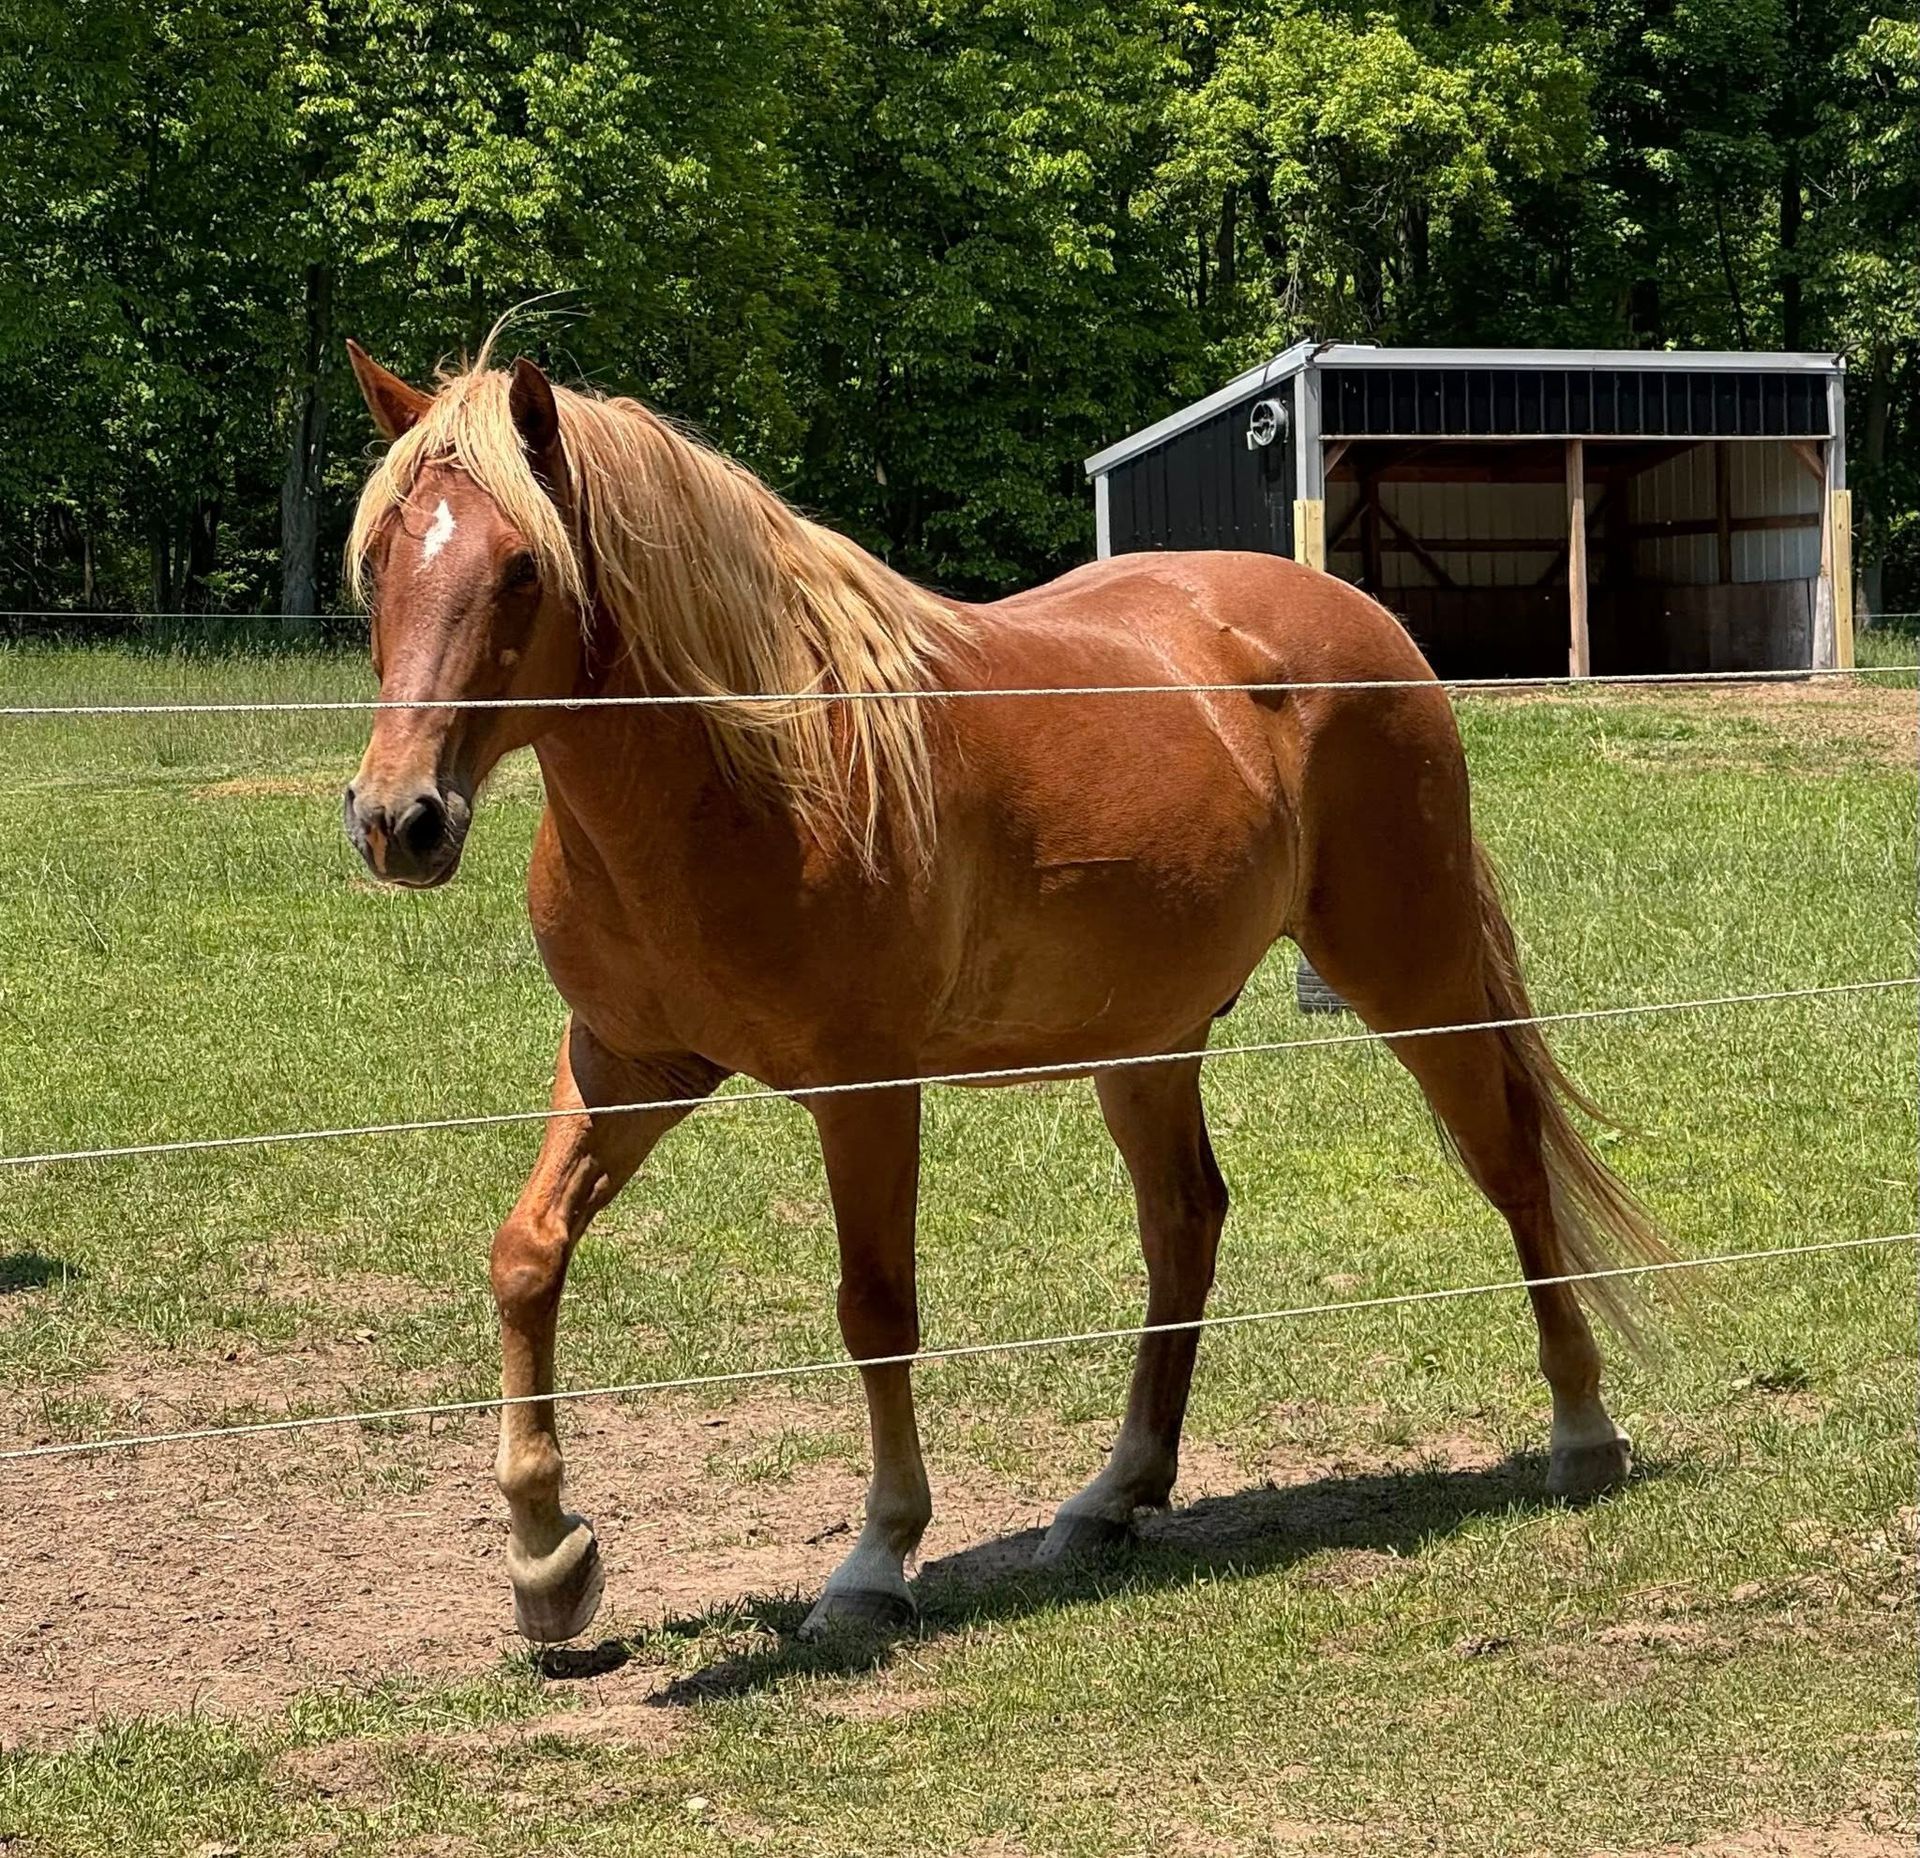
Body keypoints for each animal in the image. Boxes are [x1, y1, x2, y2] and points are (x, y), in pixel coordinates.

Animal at [340, 335, 1673, 1644]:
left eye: (522, 566)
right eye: (379, 563)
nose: (398, 818)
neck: (751, 769)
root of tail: (1363, 618)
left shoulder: (864, 1090)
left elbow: (876, 1310)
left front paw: (875, 1560)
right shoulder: (626, 1065)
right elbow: (526, 1255)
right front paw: (546, 1556)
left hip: (1412, 966)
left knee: (1506, 1161)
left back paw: (1582, 1434)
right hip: (1148, 1040)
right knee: (1184, 1224)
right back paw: (1112, 1495)